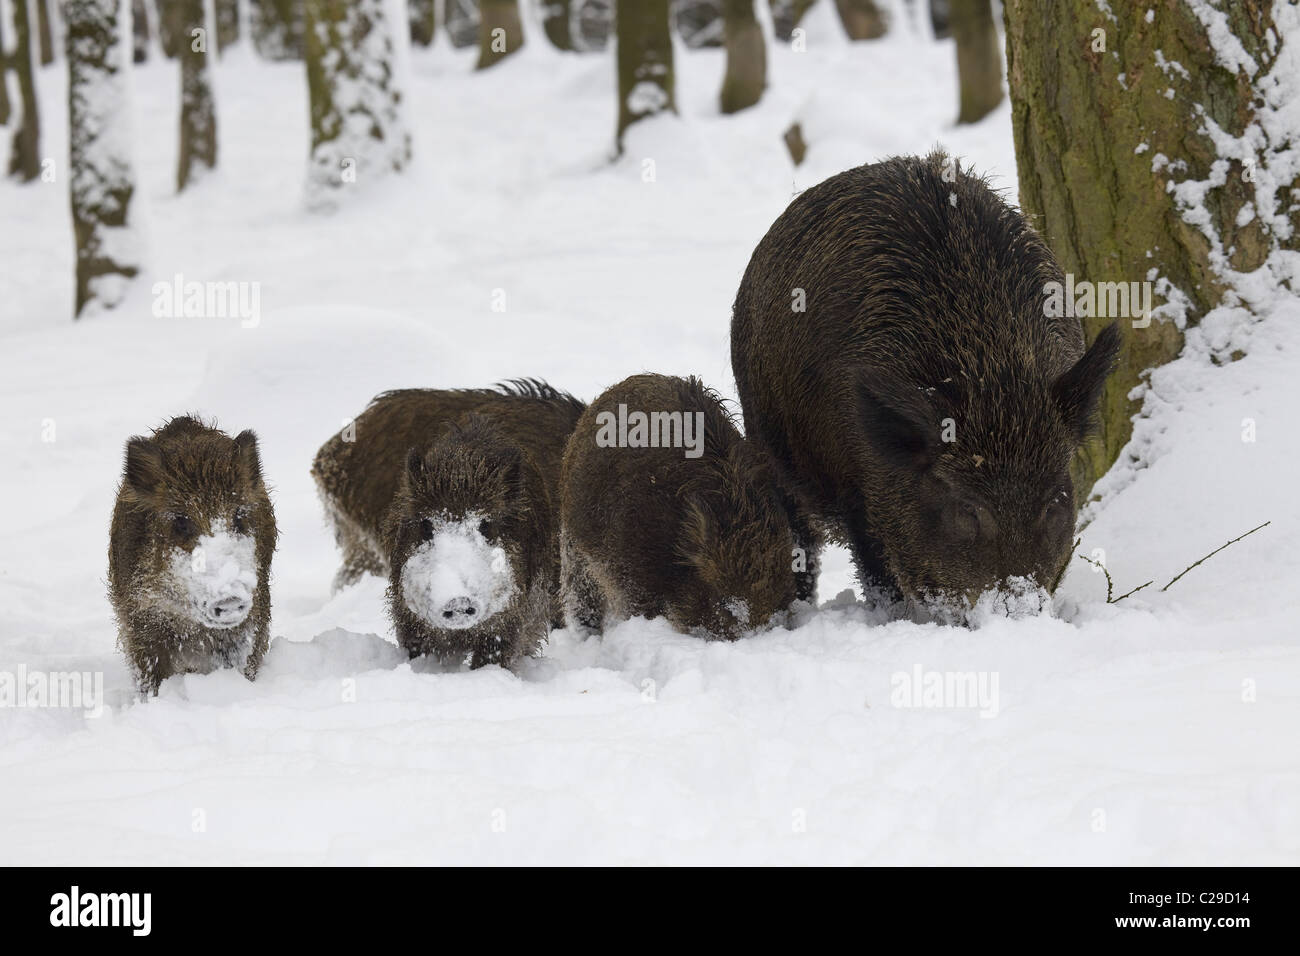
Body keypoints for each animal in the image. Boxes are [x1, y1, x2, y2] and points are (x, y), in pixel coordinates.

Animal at [108, 416, 277, 694]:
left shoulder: (256, 611)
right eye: (181, 521)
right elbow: (150, 675)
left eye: (239, 515)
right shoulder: (140, 620)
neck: (190, 624)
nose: (229, 598)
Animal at [731, 150, 1121, 616]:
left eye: (1054, 501)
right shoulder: (857, 487)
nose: (1020, 614)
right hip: (767, 439)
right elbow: (878, 568)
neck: (991, 373)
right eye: (966, 506)